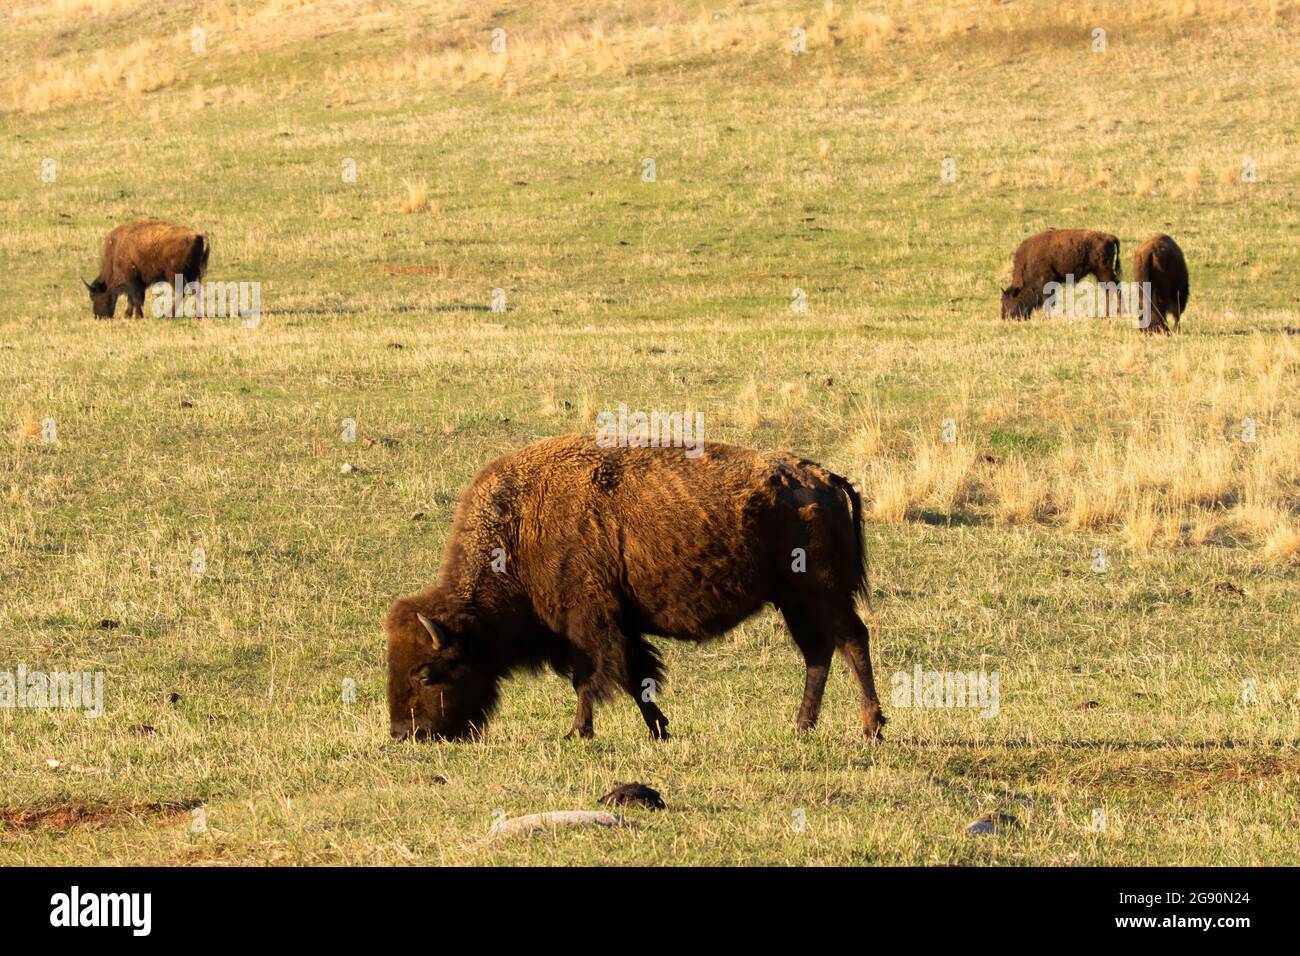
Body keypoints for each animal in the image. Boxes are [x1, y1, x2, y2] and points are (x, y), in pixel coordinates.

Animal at [386, 434, 884, 743]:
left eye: (426, 673)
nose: (405, 733)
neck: (519, 529)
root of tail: (825, 479)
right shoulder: (619, 628)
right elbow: (635, 679)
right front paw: (660, 729)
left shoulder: (589, 625)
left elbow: (592, 679)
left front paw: (578, 732)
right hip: (794, 602)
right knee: (819, 654)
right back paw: (803, 725)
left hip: (819, 595)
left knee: (852, 642)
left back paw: (871, 728)